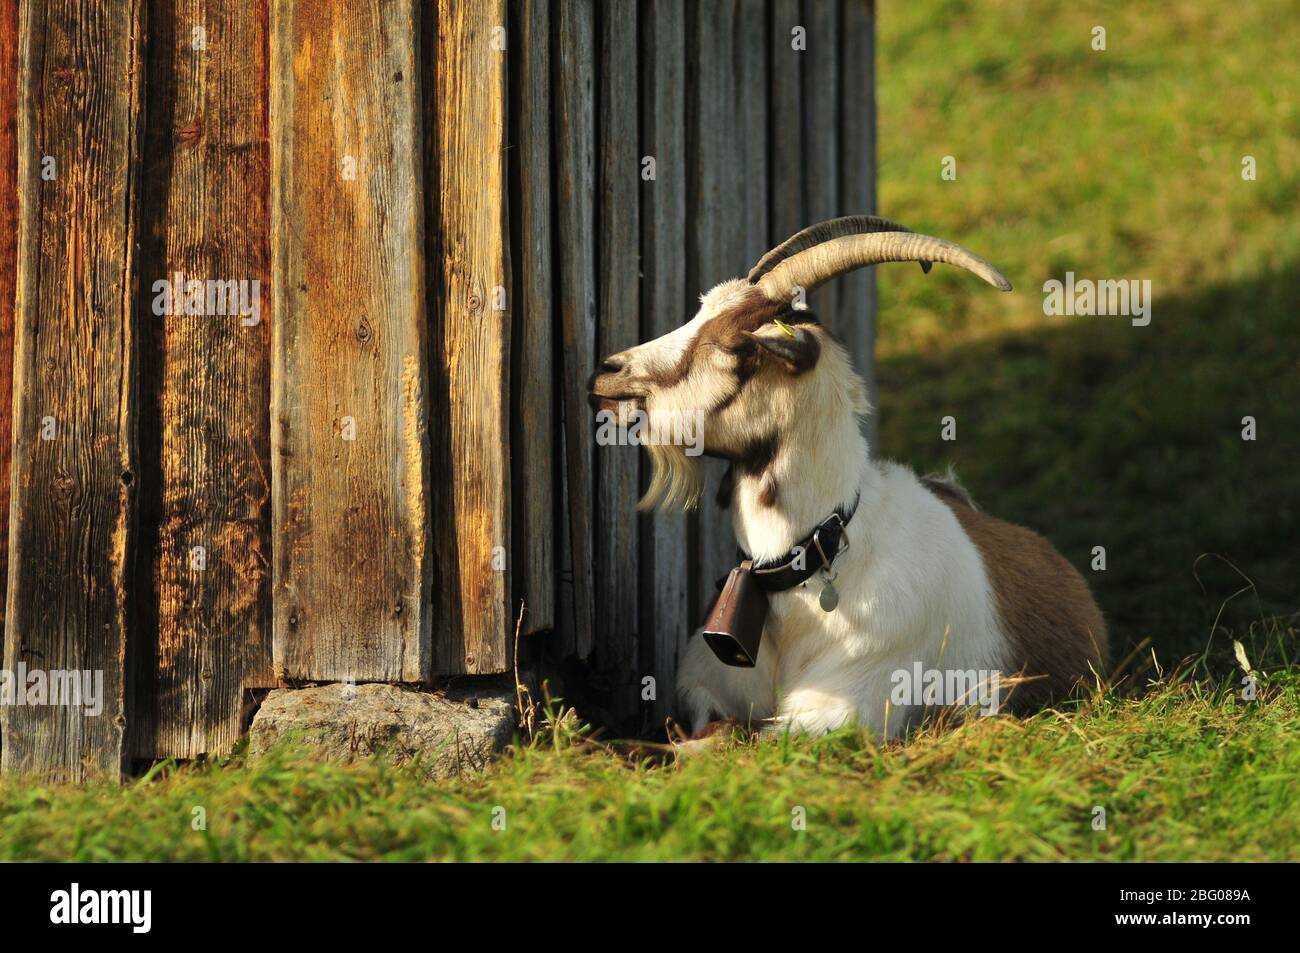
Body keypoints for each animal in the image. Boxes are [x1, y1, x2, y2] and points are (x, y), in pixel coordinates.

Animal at [588, 216, 1107, 739]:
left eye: (738, 346)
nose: (608, 375)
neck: (805, 581)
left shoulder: (836, 714)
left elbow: (727, 737)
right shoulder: (701, 689)